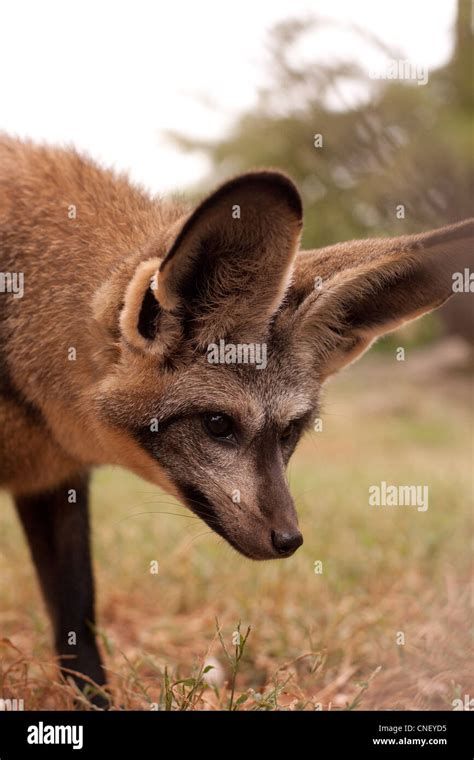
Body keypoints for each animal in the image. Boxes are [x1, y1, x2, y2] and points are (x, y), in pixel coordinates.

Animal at [0, 135, 472, 703]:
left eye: (289, 431)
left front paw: (95, 702)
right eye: (218, 425)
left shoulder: (56, 482)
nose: (289, 540)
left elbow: (78, 625)